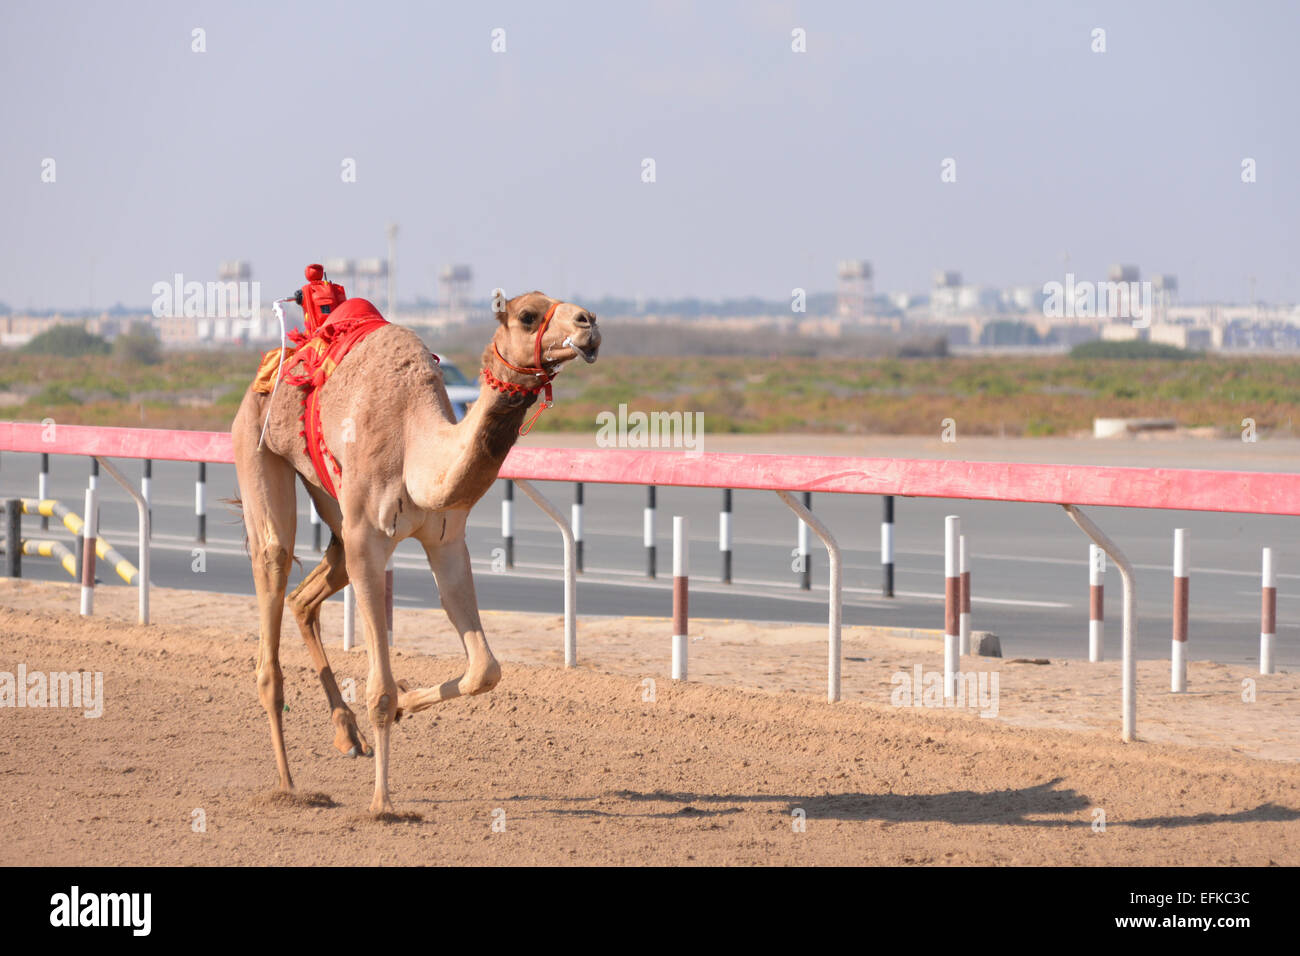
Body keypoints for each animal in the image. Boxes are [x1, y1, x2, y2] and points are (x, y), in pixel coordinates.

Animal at [231, 290, 601, 814]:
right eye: (528, 316)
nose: (589, 324)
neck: (414, 443)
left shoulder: (446, 540)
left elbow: (485, 670)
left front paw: (407, 702)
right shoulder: (369, 543)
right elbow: (380, 689)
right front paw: (382, 804)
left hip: (333, 507)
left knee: (305, 596)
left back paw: (347, 736)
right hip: (257, 446)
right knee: (273, 562)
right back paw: (288, 785)